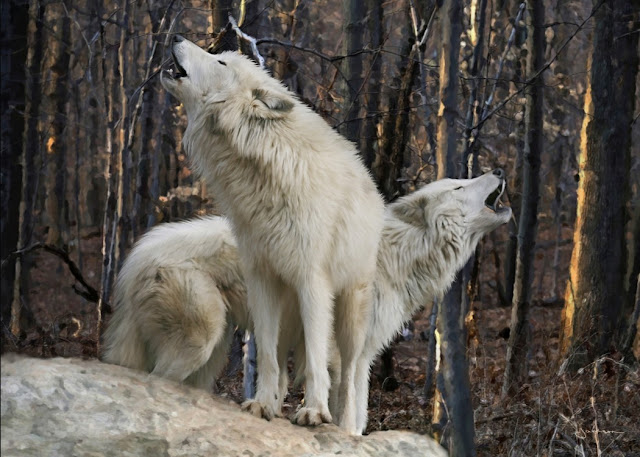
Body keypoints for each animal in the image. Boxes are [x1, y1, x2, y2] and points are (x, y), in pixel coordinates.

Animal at [102, 169, 511, 434]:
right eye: (460, 185)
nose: (500, 169)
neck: (398, 254)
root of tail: (134, 258)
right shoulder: (338, 355)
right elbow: (346, 413)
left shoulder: (362, 358)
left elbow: (357, 418)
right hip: (200, 342)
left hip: (212, 354)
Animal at [160, 36, 385, 432]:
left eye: (221, 63)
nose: (176, 38)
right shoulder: (261, 278)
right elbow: (265, 355)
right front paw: (262, 405)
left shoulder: (313, 281)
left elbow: (315, 361)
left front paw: (314, 412)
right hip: (287, 306)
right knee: (283, 361)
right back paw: (277, 402)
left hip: (349, 313)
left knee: (350, 375)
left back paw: (346, 427)